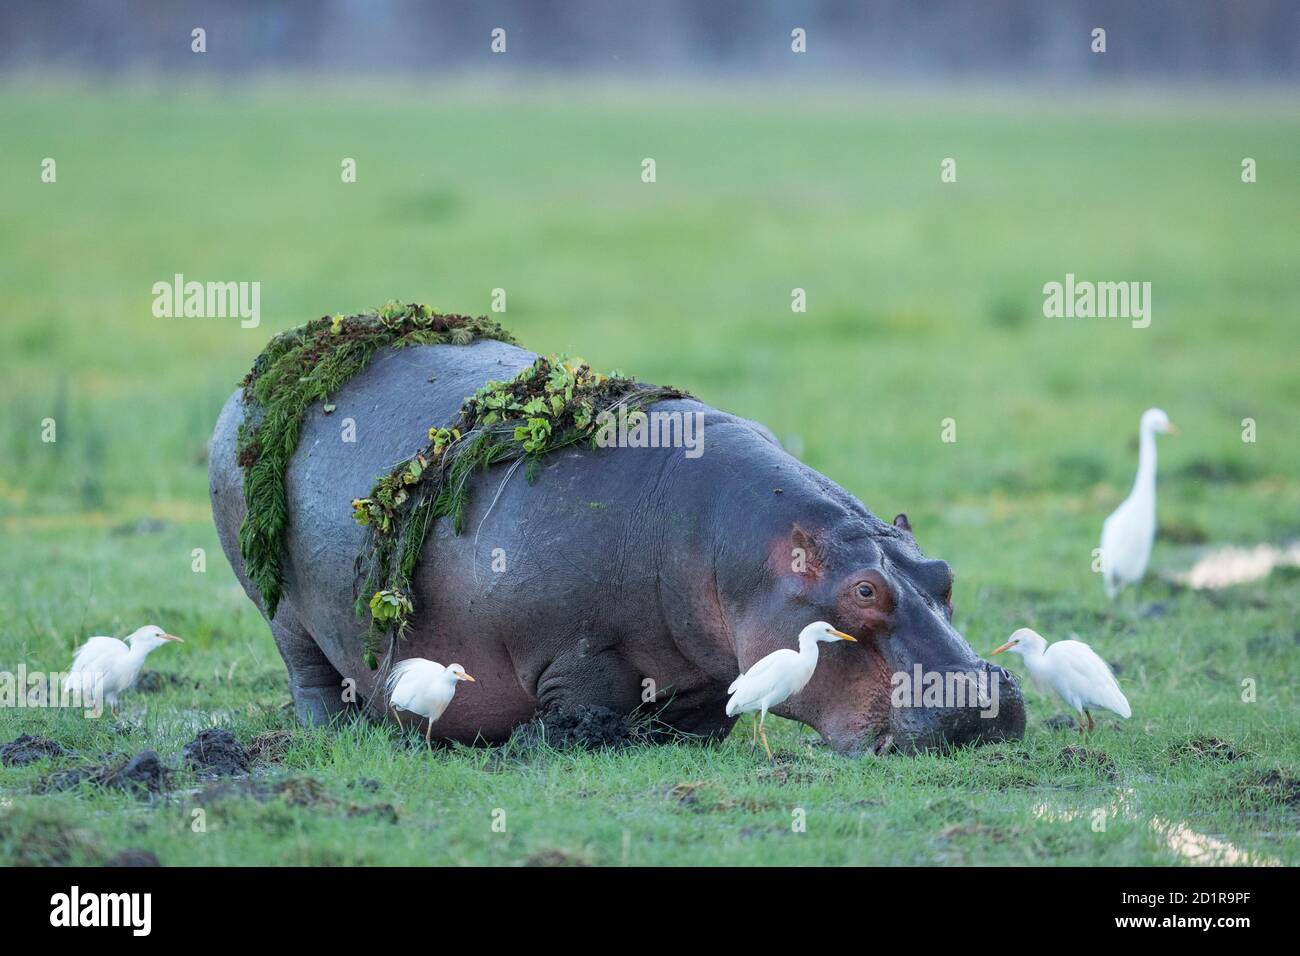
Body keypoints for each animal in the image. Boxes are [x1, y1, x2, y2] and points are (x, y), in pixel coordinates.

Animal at [208, 340, 1019, 749]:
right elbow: (587, 699)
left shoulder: (707, 670)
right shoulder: (570, 650)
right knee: (311, 673)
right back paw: (338, 730)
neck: (736, 556)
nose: (981, 692)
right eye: (863, 591)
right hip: (280, 609)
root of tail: (246, 387)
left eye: (945, 574)